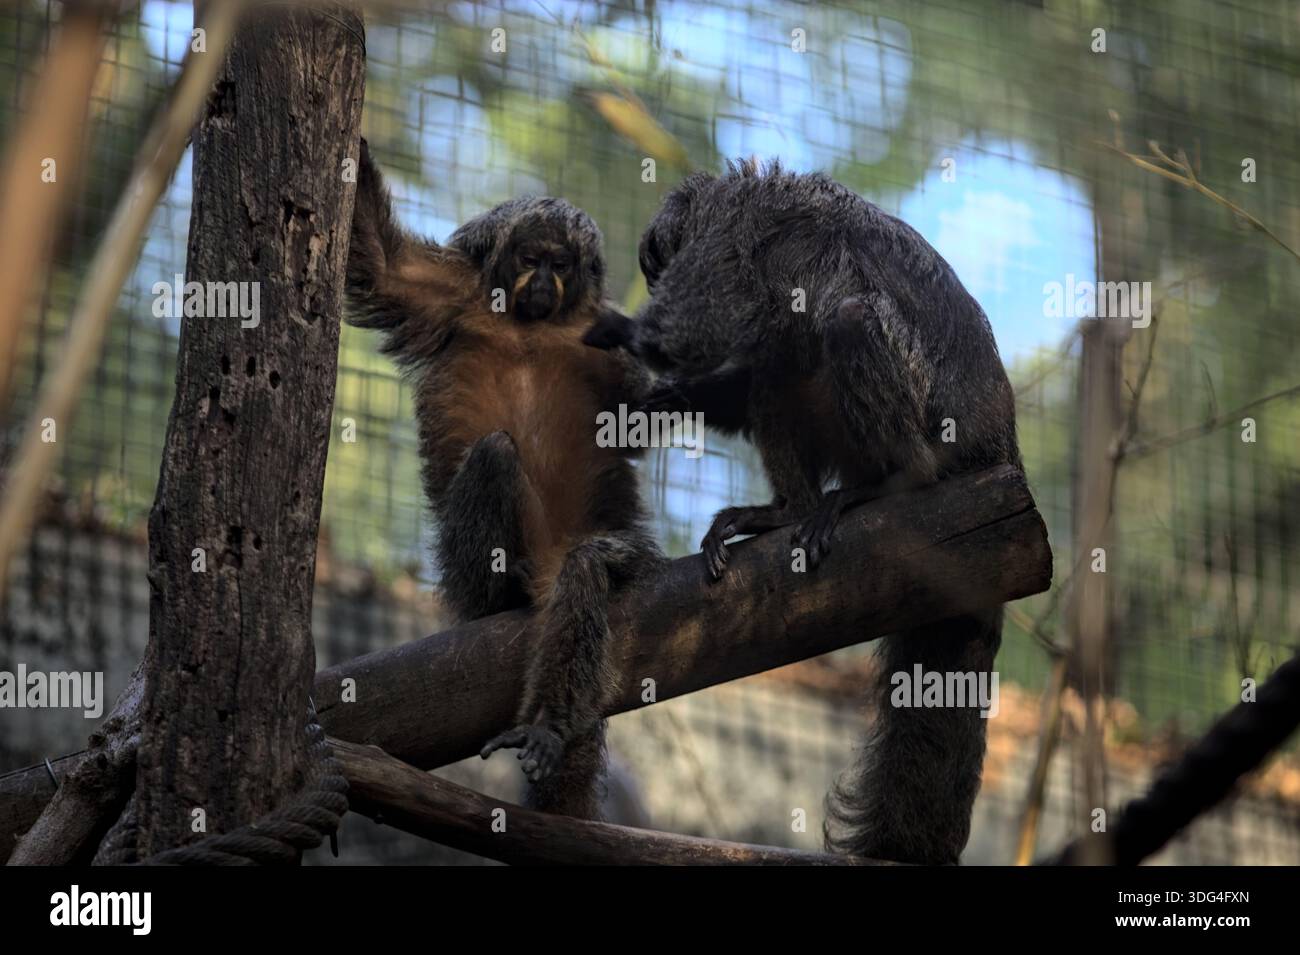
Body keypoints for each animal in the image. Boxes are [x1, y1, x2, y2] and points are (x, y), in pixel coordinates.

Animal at [345, 141, 662, 819]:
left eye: (561, 264)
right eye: (530, 259)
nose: (543, 281)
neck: (533, 324)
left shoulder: (605, 332)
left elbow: (643, 418)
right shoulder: (449, 292)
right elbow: (380, 264)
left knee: (591, 571)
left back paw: (547, 724)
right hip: (463, 572)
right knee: (493, 456)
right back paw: (503, 593)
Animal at [583, 158, 1023, 864]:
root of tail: (999, 440)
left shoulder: (730, 233)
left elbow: (699, 325)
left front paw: (617, 331)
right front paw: (658, 405)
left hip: (939, 433)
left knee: (848, 319)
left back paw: (891, 483)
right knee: (782, 354)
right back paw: (787, 512)